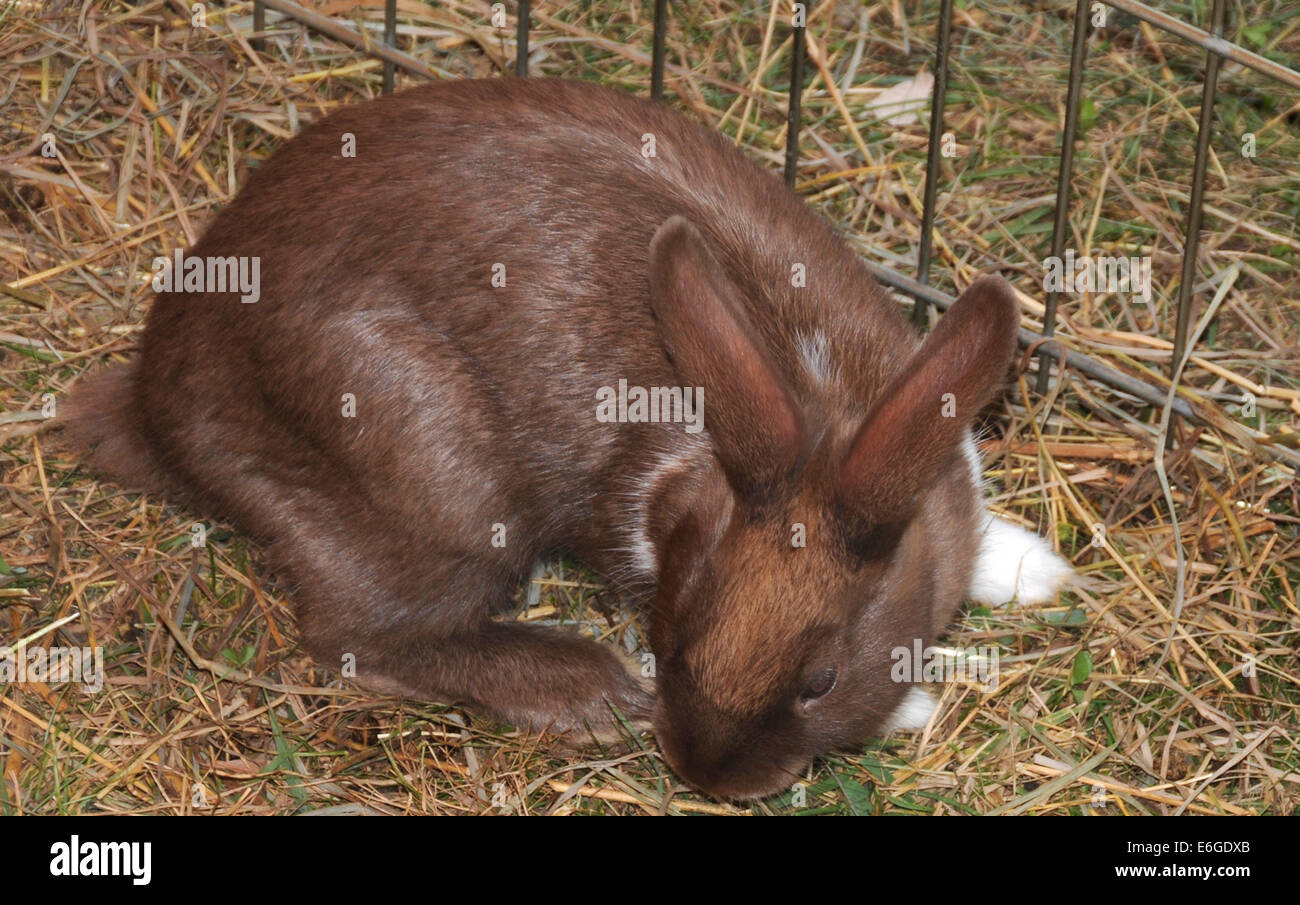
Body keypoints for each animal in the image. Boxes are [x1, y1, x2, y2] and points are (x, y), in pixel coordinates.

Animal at [60, 77, 1072, 800]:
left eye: (820, 679)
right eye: (676, 636)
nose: (704, 776)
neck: (822, 405)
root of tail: (156, 402)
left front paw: (1035, 571)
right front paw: (918, 703)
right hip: (435, 474)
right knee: (361, 638)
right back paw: (585, 688)